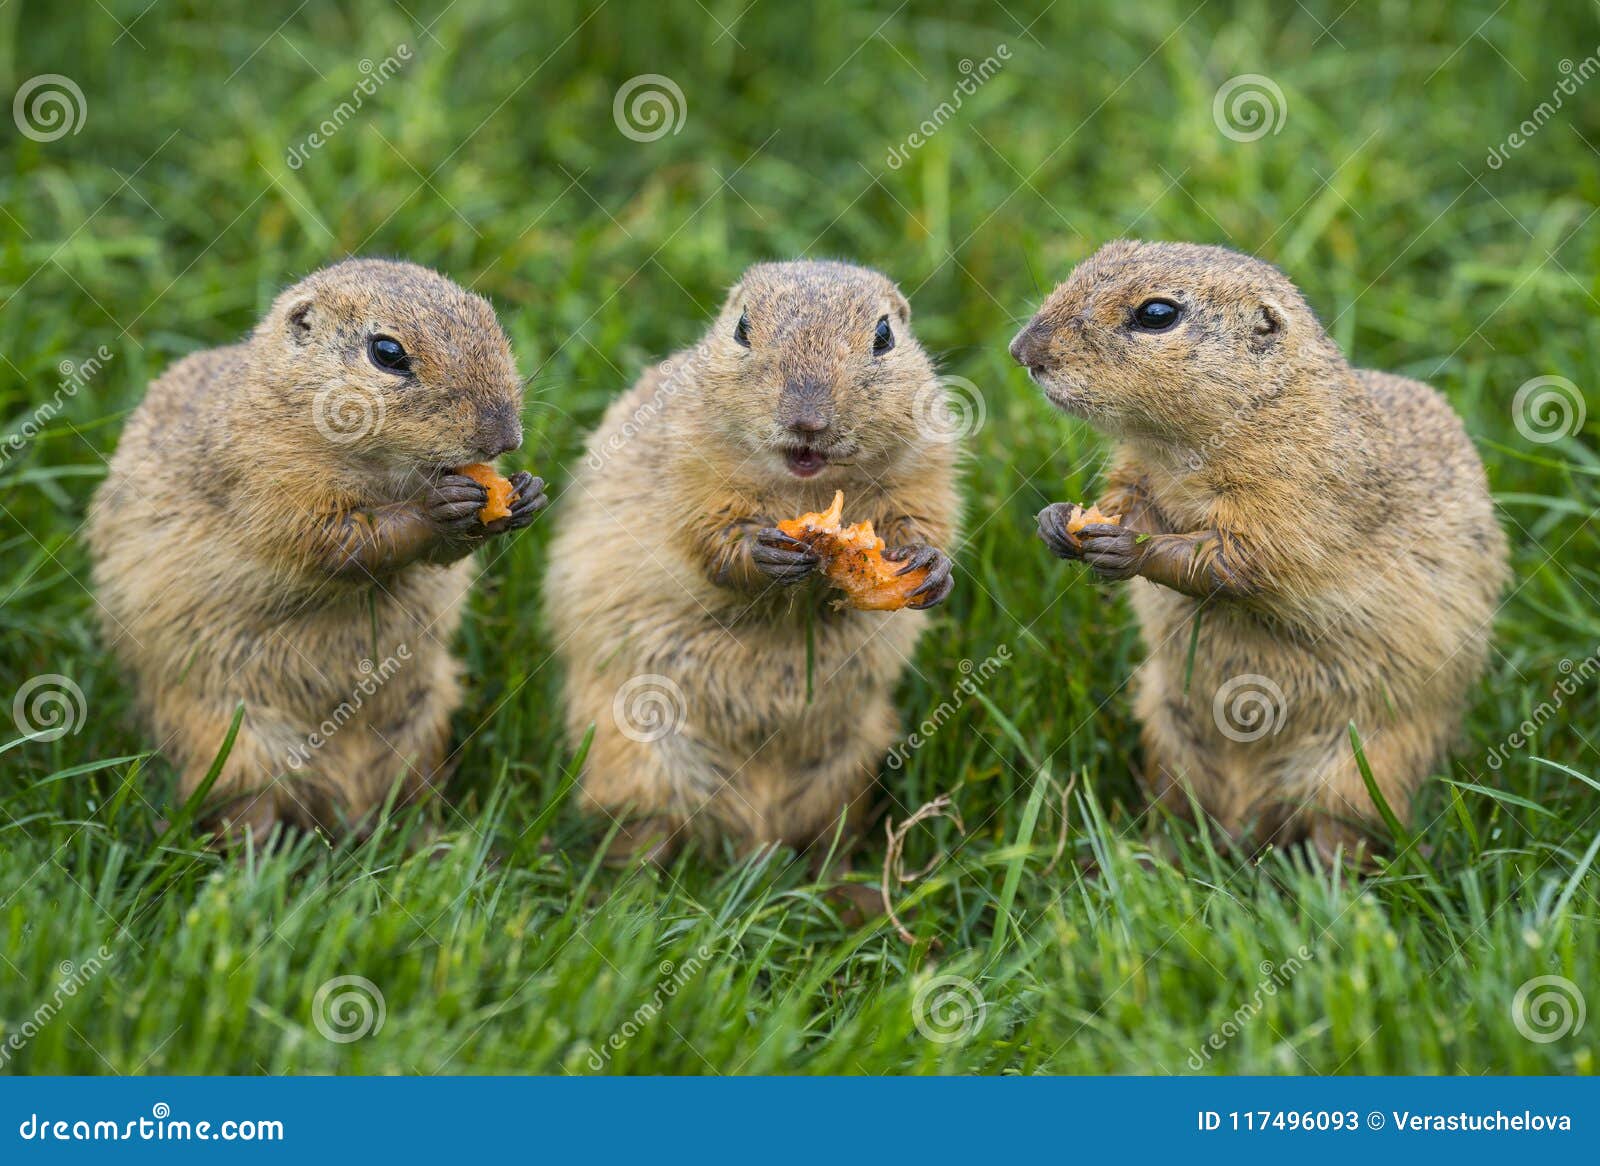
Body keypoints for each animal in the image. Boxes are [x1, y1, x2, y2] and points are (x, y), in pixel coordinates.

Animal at [87, 258, 547, 839]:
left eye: (490, 319)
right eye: (386, 352)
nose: (506, 437)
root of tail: (340, 806)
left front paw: (527, 493)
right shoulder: (269, 477)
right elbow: (339, 541)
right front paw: (437, 508)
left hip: (424, 717)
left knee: (415, 790)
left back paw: (433, 839)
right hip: (225, 738)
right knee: (243, 806)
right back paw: (257, 853)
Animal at [544, 260, 962, 861]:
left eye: (884, 336)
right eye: (741, 328)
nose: (807, 420)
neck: (805, 484)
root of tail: (756, 832)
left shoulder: (927, 462)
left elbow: (926, 516)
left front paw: (931, 565)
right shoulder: (689, 462)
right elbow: (707, 534)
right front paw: (766, 554)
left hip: (851, 759)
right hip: (634, 760)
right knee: (641, 835)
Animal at [1010, 239, 1508, 863]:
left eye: (1157, 314)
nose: (1022, 350)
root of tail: (1247, 814)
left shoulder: (1297, 494)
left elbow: (1241, 561)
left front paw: (1128, 549)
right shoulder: (1140, 471)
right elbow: (1129, 499)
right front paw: (1057, 521)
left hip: (1365, 767)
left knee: (1343, 831)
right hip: (1167, 730)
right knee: (1176, 804)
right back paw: (1149, 852)